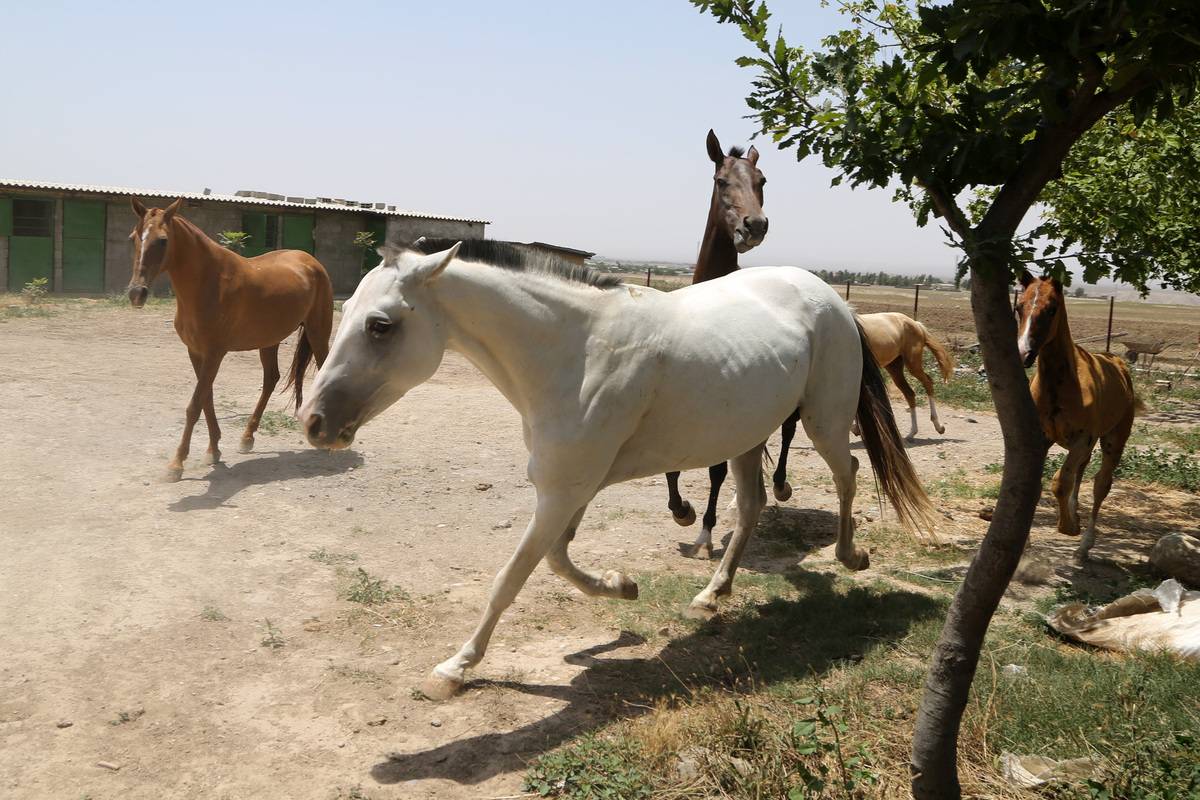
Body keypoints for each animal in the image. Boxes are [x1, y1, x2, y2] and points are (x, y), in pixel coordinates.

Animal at [125, 198, 334, 481]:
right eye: (134, 237)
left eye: (162, 240)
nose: (136, 293)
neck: (209, 282)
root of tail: (311, 261)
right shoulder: (196, 352)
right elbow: (206, 399)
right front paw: (213, 450)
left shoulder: (215, 353)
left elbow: (194, 405)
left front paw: (176, 464)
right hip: (269, 340)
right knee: (271, 379)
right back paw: (247, 437)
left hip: (318, 332)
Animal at [300, 239, 931, 699]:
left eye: (380, 326)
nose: (313, 423)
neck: (576, 352)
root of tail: (830, 297)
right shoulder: (571, 488)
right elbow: (557, 560)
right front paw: (622, 589)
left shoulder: (562, 491)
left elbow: (511, 578)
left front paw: (454, 669)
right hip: (747, 437)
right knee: (751, 507)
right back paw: (713, 593)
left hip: (824, 420)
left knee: (849, 472)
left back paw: (851, 556)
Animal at [664, 129, 780, 560]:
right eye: (721, 181)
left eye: (762, 181)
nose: (755, 226)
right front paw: (682, 510)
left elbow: (715, 469)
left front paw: (705, 534)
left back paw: (778, 485)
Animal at [854, 312, 954, 440]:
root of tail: (916, 324)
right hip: (895, 369)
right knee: (909, 393)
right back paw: (912, 432)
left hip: (912, 364)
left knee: (927, 383)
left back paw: (938, 426)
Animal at [1016, 271, 1141, 562]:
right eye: (1018, 307)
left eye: (1051, 309)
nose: (1023, 353)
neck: (1059, 385)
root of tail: (1118, 364)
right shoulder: (1041, 439)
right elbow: (1038, 484)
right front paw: (1024, 547)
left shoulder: (1082, 439)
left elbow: (1060, 481)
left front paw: (1069, 527)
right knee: (1081, 472)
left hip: (1113, 440)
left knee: (1101, 484)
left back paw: (1084, 545)